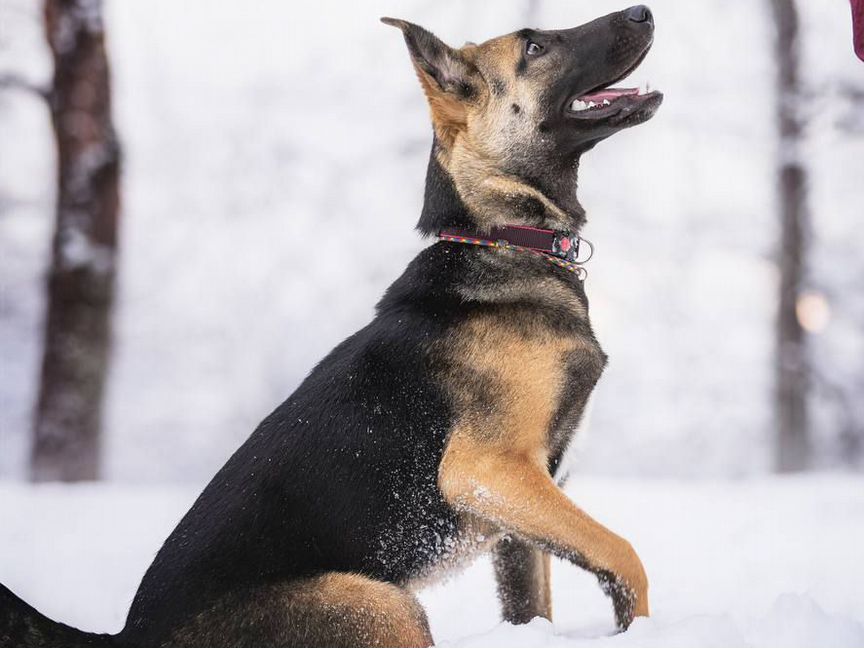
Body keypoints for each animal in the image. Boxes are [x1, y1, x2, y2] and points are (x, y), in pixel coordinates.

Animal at [0, 6, 664, 648]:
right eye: (534, 46)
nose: (643, 12)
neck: (501, 238)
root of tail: (126, 636)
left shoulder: (522, 513)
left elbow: (535, 607)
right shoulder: (488, 471)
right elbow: (623, 552)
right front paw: (637, 622)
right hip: (384, 603)